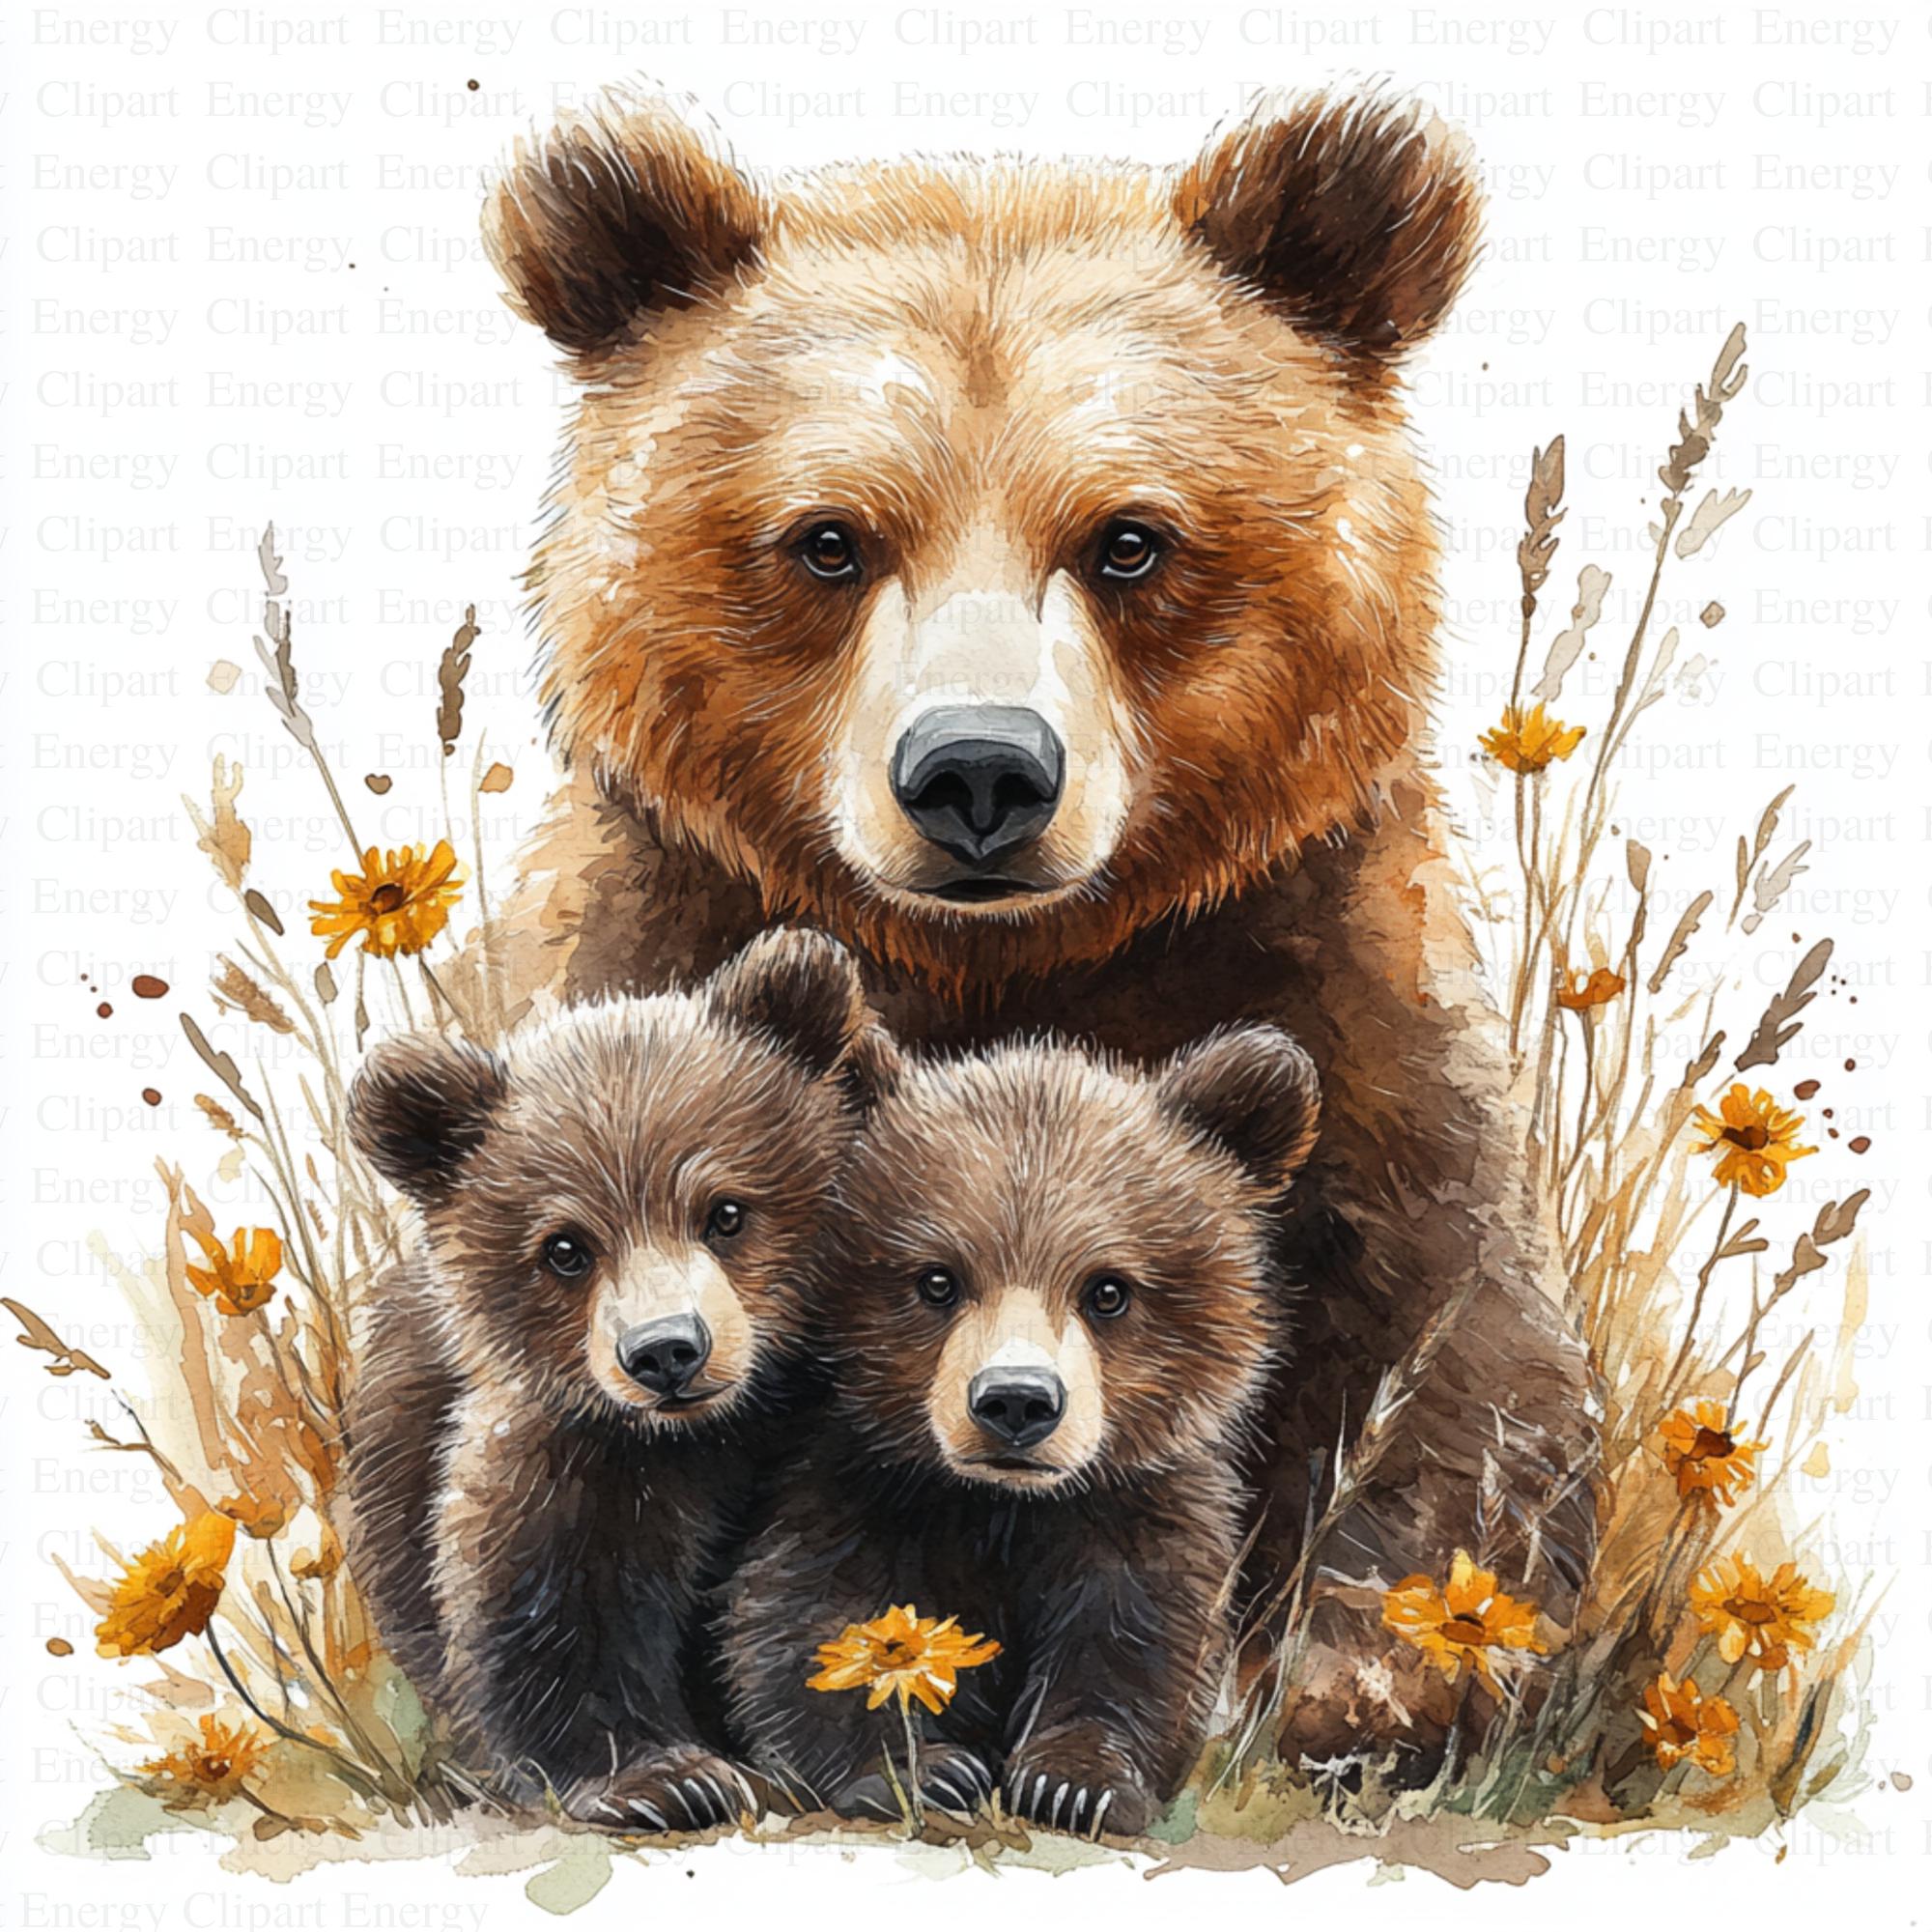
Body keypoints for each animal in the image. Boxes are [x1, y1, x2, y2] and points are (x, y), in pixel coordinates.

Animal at [341, 929, 873, 1830]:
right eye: (565, 1247)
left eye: (727, 1211)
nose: (665, 1352)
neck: (716, 1430)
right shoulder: (575, 1449)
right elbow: (559, 1603)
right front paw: (662, 1778)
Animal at [719, 1023, 1320, 1838]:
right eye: (936, 1279)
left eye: (1109, 1289)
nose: (1016, 1401)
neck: (999, 1506)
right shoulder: (849, 1484)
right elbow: (806, 1620)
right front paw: (919, 1768)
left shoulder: (1138, 1504)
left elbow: (1140, 1640)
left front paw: (1079, 1780)